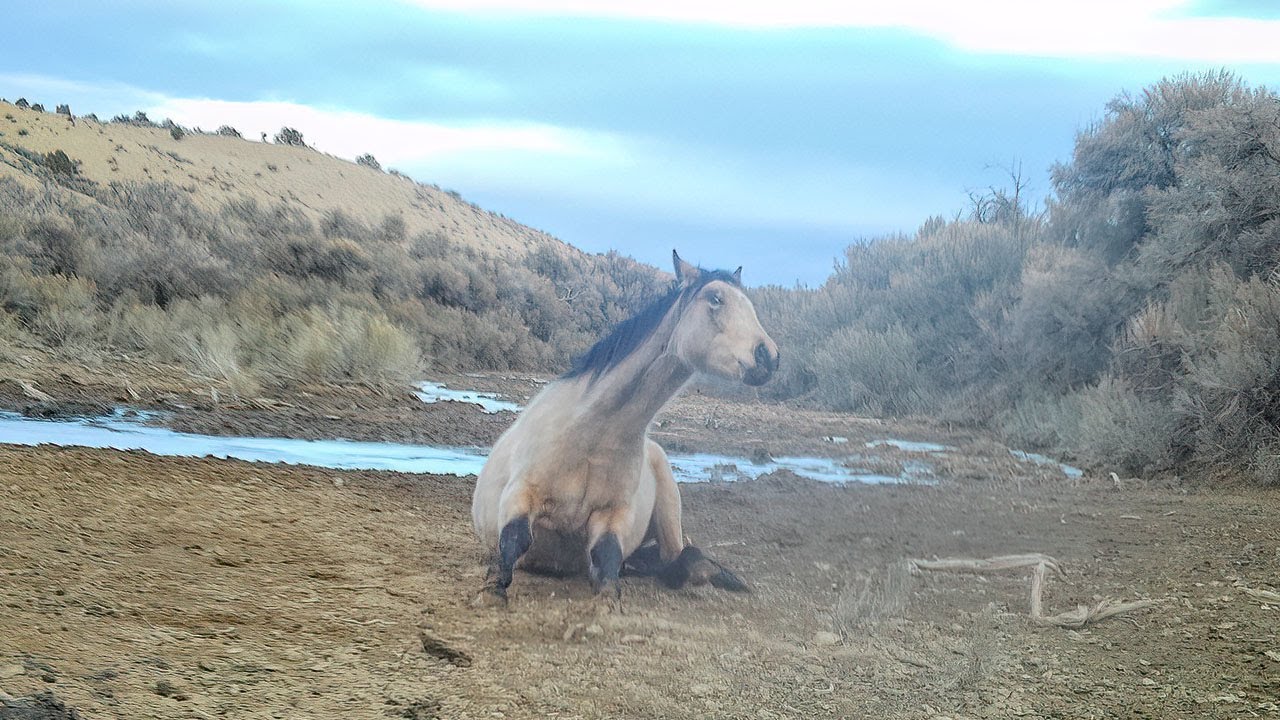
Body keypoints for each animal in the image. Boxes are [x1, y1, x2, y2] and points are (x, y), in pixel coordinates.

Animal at [471, 250, 780, 602]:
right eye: (716, 298)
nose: (769, 356)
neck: (590, 435)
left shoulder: (611, 517)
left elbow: (607, 567)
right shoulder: (520, 496)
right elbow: (512, 544)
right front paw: (491, 591)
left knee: (676, 558)